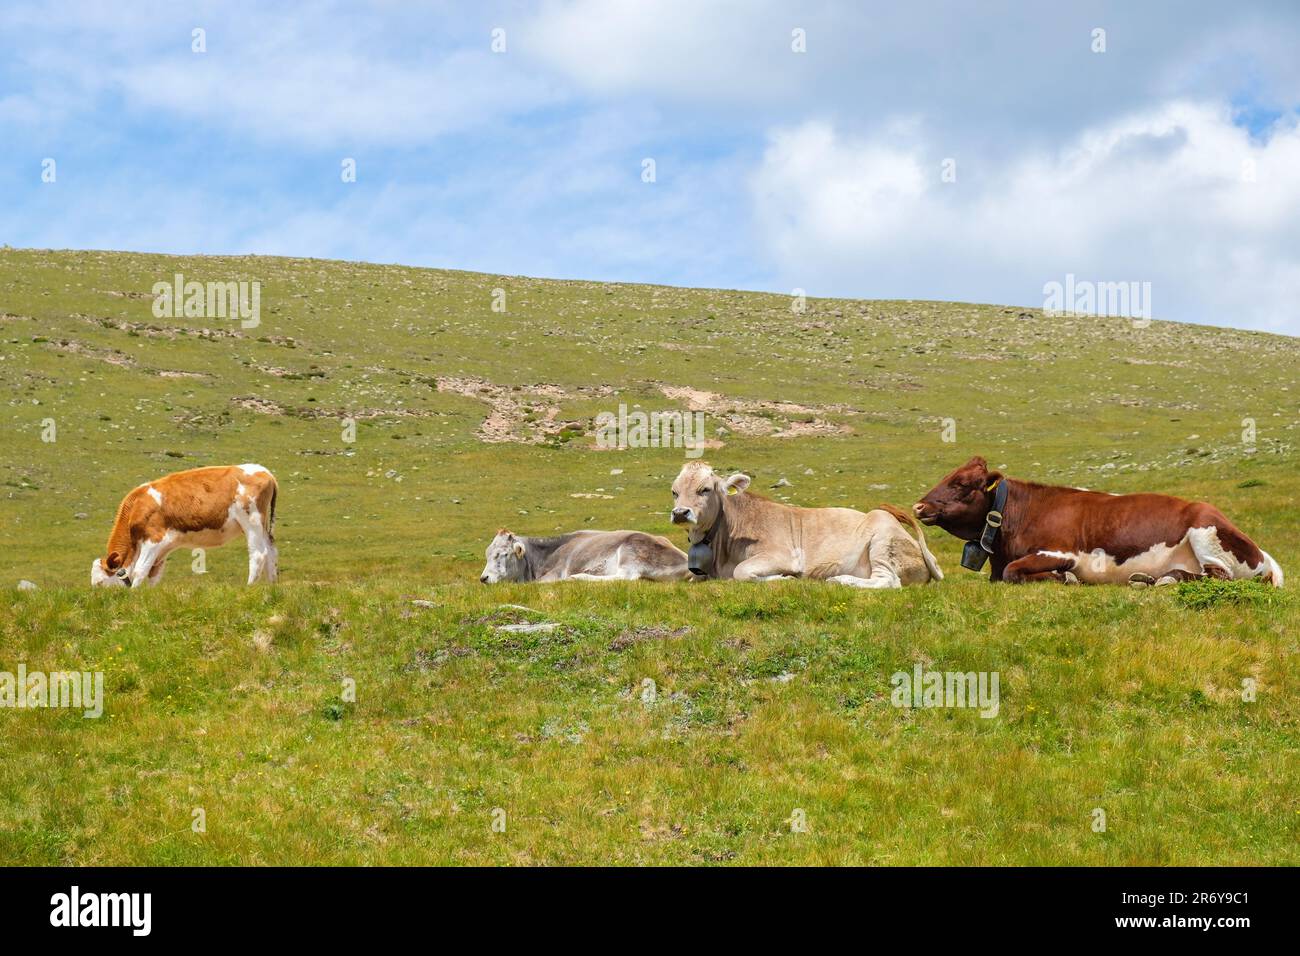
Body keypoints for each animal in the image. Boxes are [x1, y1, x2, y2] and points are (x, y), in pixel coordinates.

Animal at [90, 464, 278, 588]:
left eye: (99, 583)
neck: (137, 505)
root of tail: (265, 472)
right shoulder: (164, 547)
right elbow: (154, 573)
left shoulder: (153, 539)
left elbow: (140, 570)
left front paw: (134, 596)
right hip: (263, 526)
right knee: (271, 553)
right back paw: (272, 587)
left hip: (251, 521)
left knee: (258, 554)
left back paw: (249, 587)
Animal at [479, 529, 691, 583]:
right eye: (487, 554)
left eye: (503, 554)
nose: (483, 578)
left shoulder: (555, 572)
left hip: (630, 549)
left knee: (626, 577)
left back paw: (579, 577)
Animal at [668, 461, 942, 587]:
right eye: (674, 492)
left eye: (704, 489)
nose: (680, 513)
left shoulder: (784, 555)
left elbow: (742, 571)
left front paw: (783, 578)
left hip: (882, 541)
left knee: (887, 581)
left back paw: (840, 580)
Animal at [913, 456, 1283, 587]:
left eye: (962, 484)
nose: (918, 506)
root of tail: (1264, 555)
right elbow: (1003, 574)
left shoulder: (1063, 552)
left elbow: (1013, 572)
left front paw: (1063, 577)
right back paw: (1151, 578)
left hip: (1204, 530)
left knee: (1219, 575)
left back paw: (1167, 578)